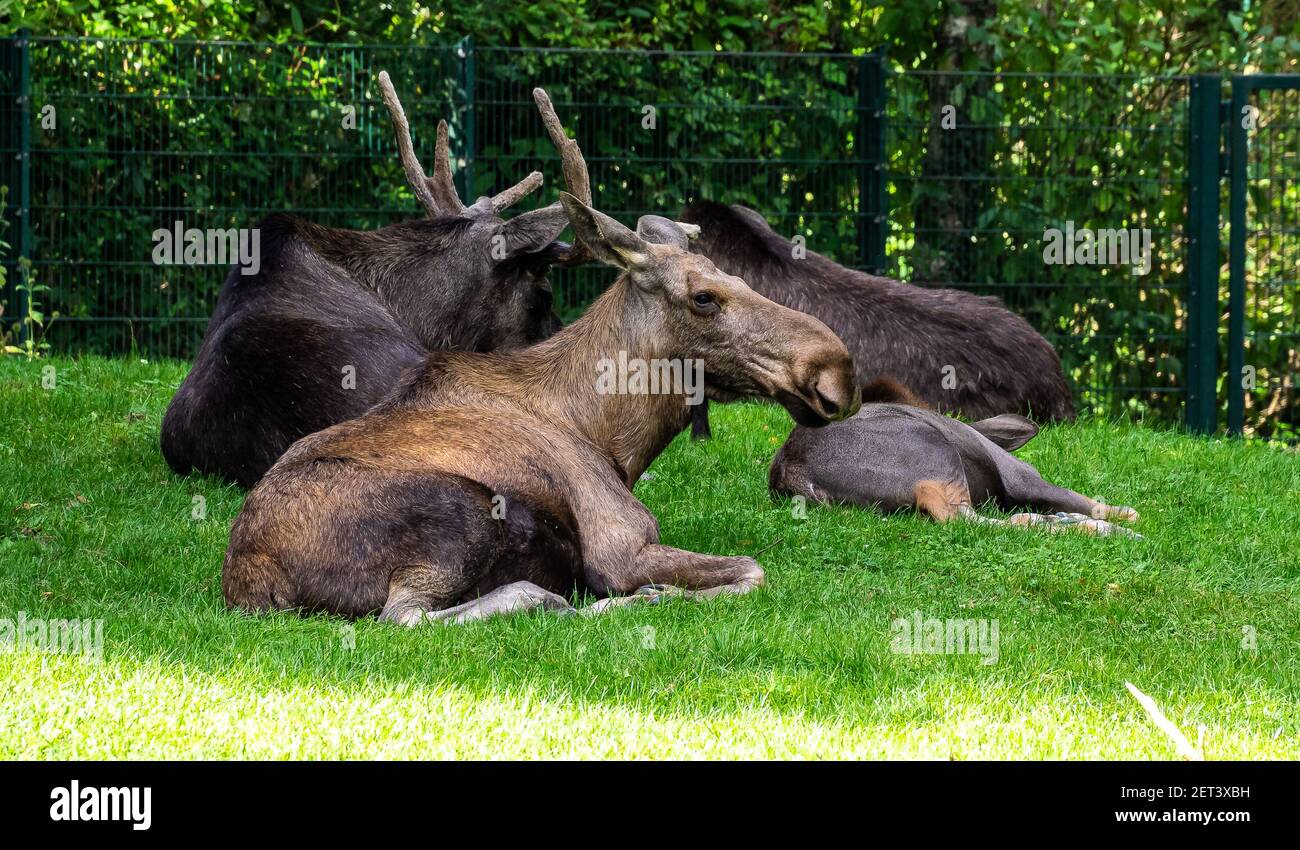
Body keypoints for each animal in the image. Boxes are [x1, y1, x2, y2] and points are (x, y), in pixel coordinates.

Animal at [222, 163, 861, 623]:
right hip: (464, 512)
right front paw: (647, 594)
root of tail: (245, 583)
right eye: (704, 296)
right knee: (407, 615)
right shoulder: (622, 547)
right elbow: (752, 570)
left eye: (737, 277)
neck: (614, 439)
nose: (837, 370)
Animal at [770, 379, 1139, 537]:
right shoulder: (1022, 476)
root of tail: (794, 475)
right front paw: (1127, 516)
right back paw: (1092, 527)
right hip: (936, 453)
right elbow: (1086, 499)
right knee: (961, 517)